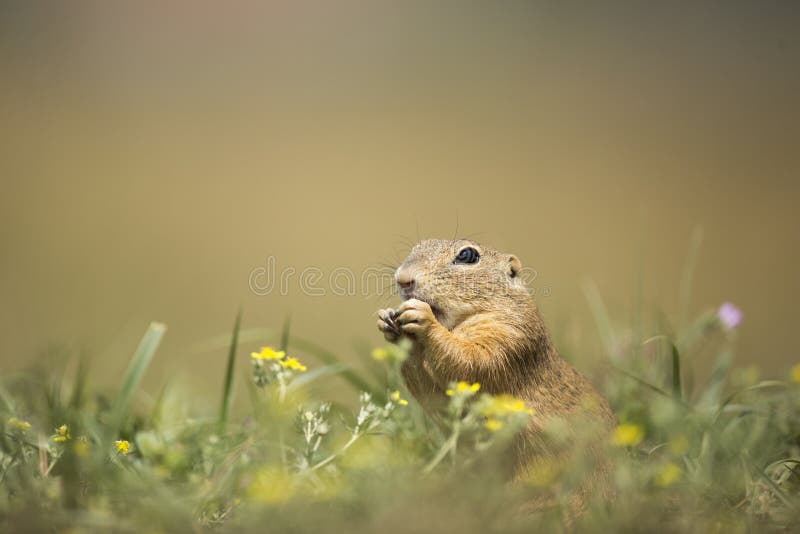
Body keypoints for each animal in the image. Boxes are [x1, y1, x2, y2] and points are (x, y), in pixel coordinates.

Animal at [376, 239, 616, 499]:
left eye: (467, 255)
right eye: (417, 246)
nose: (403, 278)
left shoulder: (511, 333)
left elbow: (473, 359)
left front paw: (423, 317)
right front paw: (387, 319)